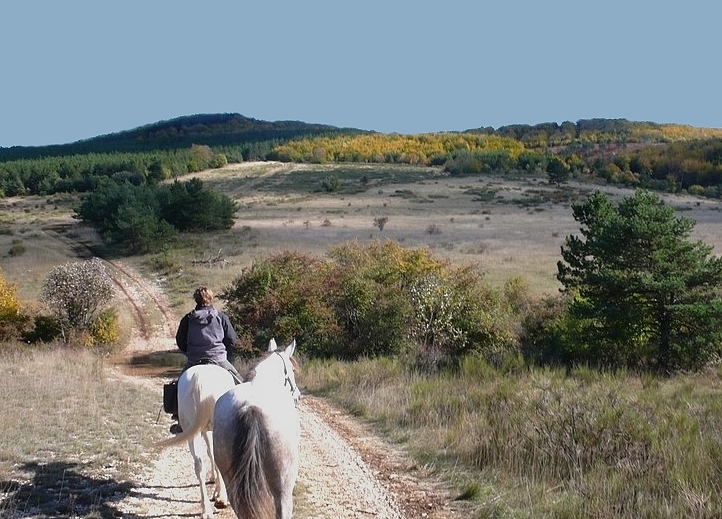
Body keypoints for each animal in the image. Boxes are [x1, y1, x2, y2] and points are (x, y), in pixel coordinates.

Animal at [155, 363, 237, 519]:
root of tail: (200, 378)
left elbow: (210, 453)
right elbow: (212, 454)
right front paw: (218, 491)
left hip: (193, 431)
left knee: (199, 465)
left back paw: (206, 509)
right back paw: (219, 501)